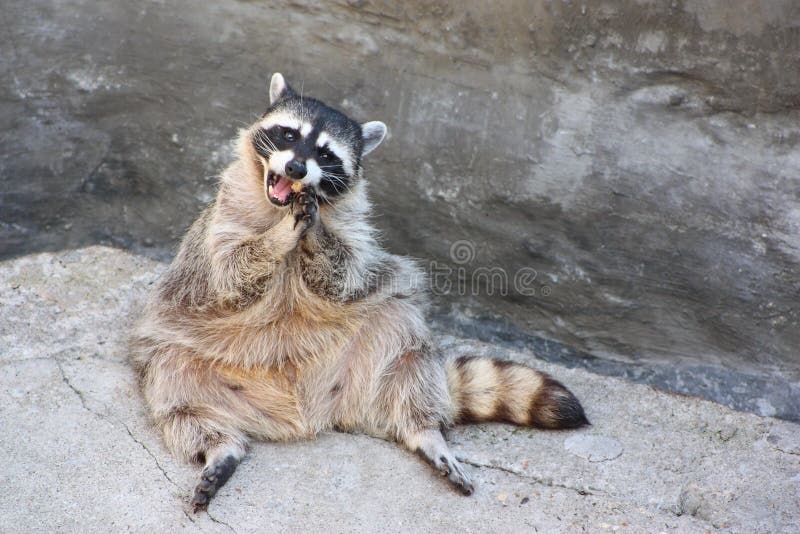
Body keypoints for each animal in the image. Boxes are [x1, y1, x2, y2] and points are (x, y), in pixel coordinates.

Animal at [132, 73, 588, 511]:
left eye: (326, 154)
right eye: (288, 134)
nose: (296, 168)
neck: (280, 203)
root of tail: (301, 416)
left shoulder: (355, 227)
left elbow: (342, 276)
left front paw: (314, 229)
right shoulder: (224, 217)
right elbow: (231, 276)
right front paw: (279, 236)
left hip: (373, 351)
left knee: (406, 341)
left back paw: (423, 428)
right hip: (189, 353)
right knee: (174, 390)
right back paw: (219, 445)